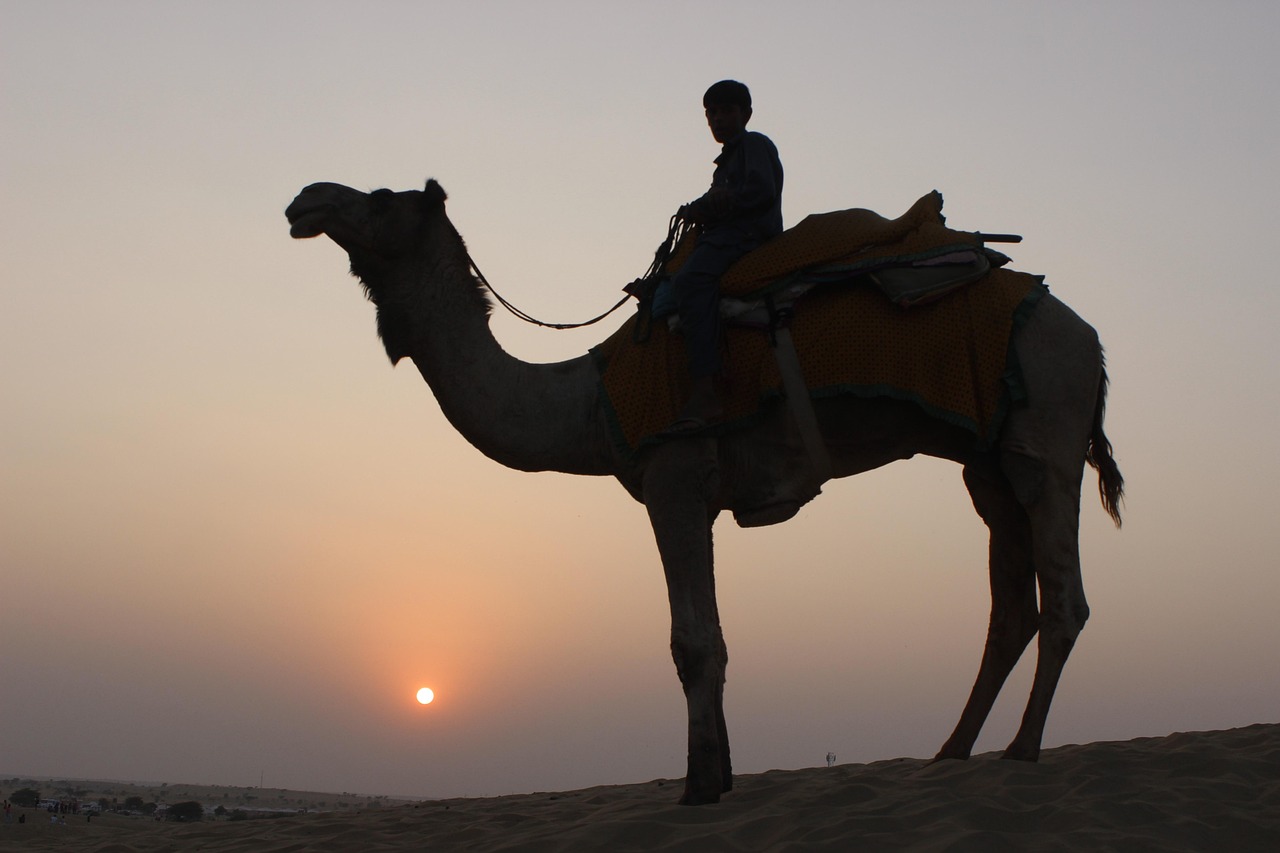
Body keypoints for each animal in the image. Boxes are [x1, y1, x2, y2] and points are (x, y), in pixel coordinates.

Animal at [285, 180, 1124, 805]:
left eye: (381, 198)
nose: (306, 199)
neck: (593, 398)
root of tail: (1091, 340)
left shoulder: (675, 478)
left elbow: (692, 641)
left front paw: (697, 785)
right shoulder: (699, 495)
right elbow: (713, 636)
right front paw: (716, 776)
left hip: (1046, 431)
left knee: (1065, 596)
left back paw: (1021, 748)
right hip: (986, 457)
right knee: (1010, 602)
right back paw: (951, 751)